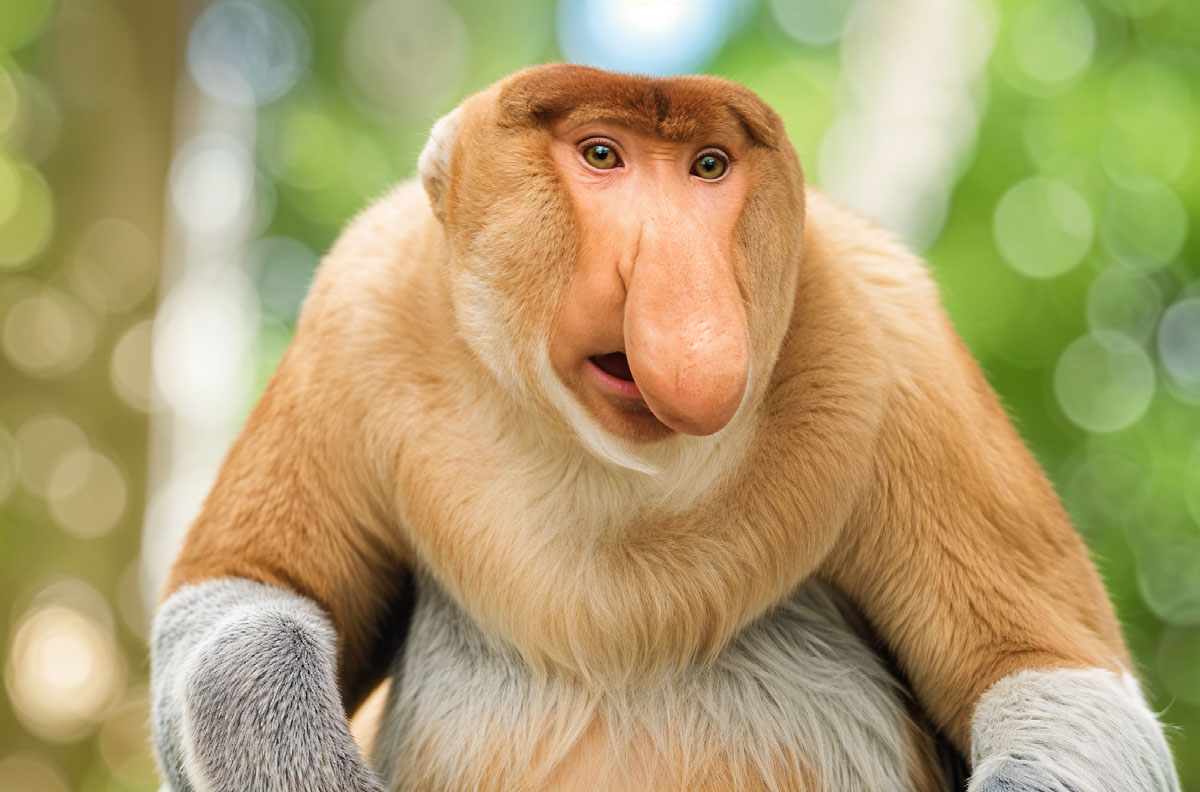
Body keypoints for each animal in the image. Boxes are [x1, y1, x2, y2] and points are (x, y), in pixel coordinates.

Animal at [149, 64, 1180, 792]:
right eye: (602, 156)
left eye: (709, 168)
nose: (678, 282)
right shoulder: (361, 303)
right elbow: (242, 597)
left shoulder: (895, 338)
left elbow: (1053, 680)